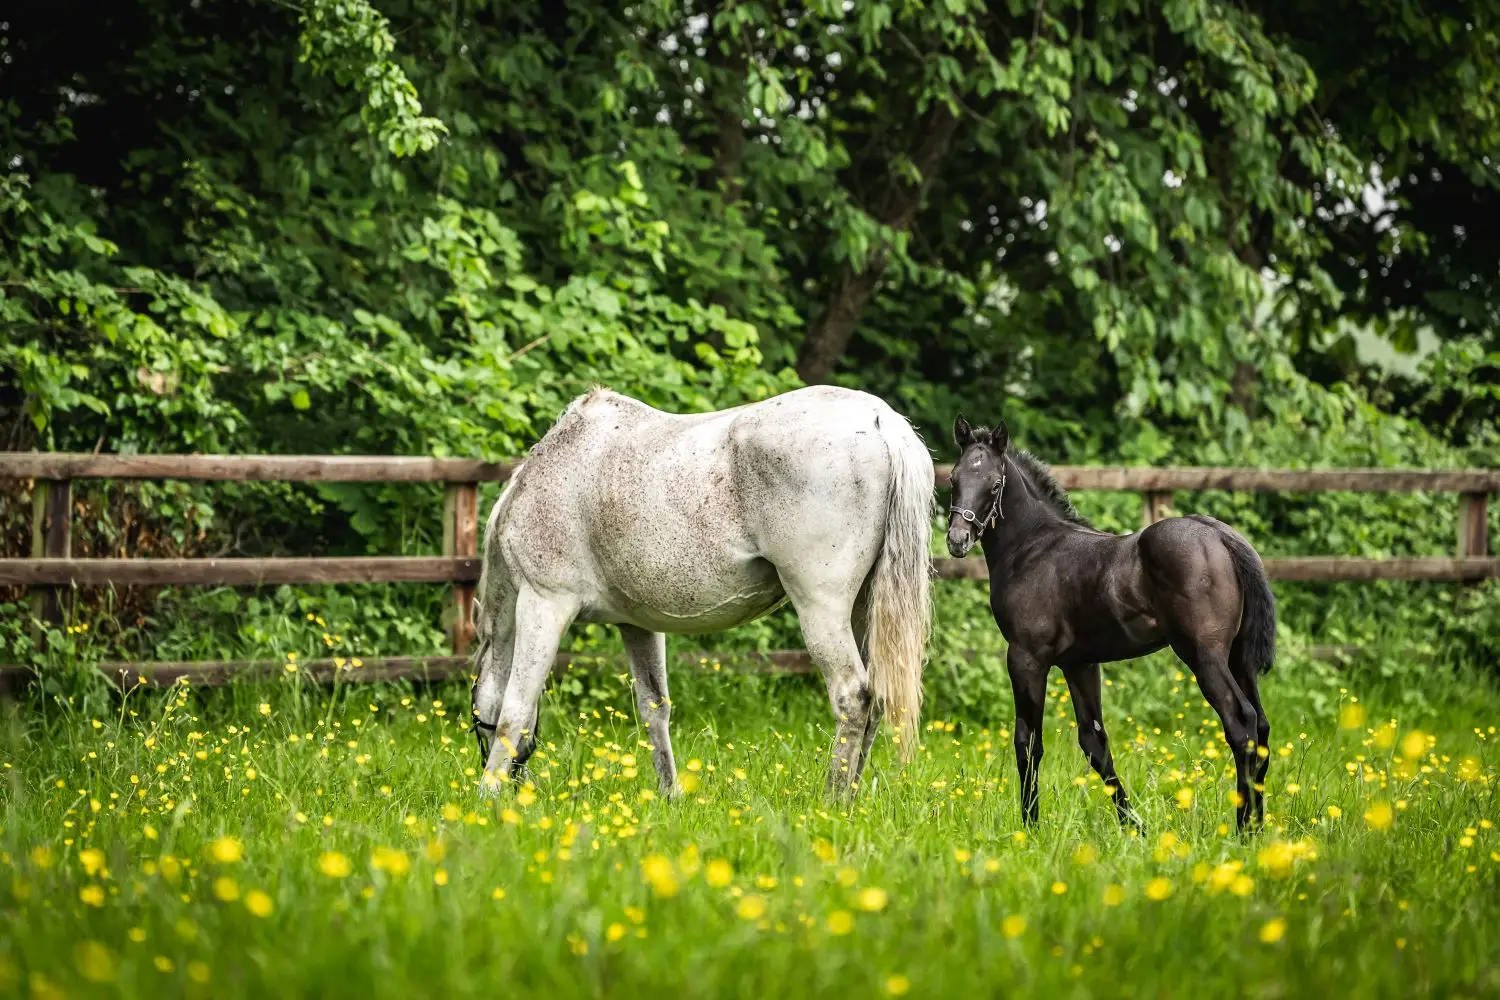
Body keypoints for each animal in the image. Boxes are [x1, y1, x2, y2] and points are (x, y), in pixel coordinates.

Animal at [470, 385, 935, 799]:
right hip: (863, 610)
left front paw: (486, 794)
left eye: (476, 721)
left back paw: (833, 802)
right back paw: (850, 798)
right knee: (875, 701)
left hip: (821, 609)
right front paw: (670, 795)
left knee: (852, 696)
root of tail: (879, 420)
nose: (519, 787)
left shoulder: (543, 604)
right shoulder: (636, 625)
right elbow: (654, 709)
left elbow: (514, 707)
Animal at [944, 415, 1277, 831]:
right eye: (953, 479)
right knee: (1261, 727)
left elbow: (1028, 741)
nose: (957, 540)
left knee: (1241, 722)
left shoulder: (1026, 657)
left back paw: (1242, 828)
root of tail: (1221, 535)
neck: (1031, 548)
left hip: (1205, 655)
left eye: (994, 484)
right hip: (1239, 657)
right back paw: (1258, 827)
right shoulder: (1079, 663)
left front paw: (1030, 825)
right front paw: (1135, 827)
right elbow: (1094, 742)